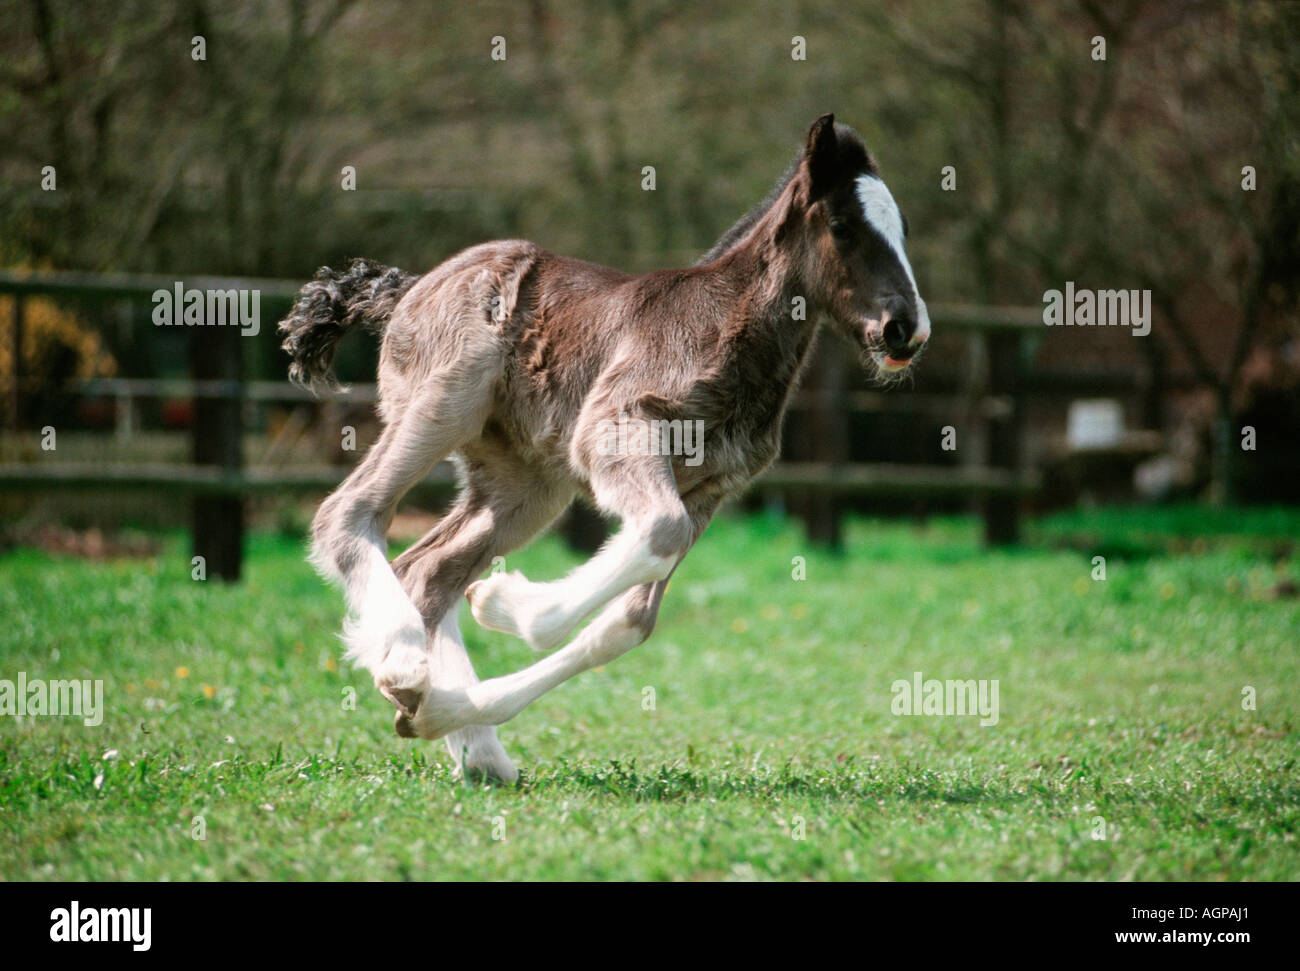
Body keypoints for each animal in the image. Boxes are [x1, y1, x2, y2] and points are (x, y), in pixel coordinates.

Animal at [279, 114, 929, 783]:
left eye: (902, 230)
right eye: (843, 226)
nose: (906, 330)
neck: (727, 327)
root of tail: (407, 289)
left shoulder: (711, 489)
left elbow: (631, 620)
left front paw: (447, 699)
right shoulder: (616, 429)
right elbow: (659, 533)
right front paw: (509, 605)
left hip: (527, 487)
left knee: (430, 570)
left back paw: (466, 736)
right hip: (445, 403)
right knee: (347, 512)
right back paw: (407, 660)